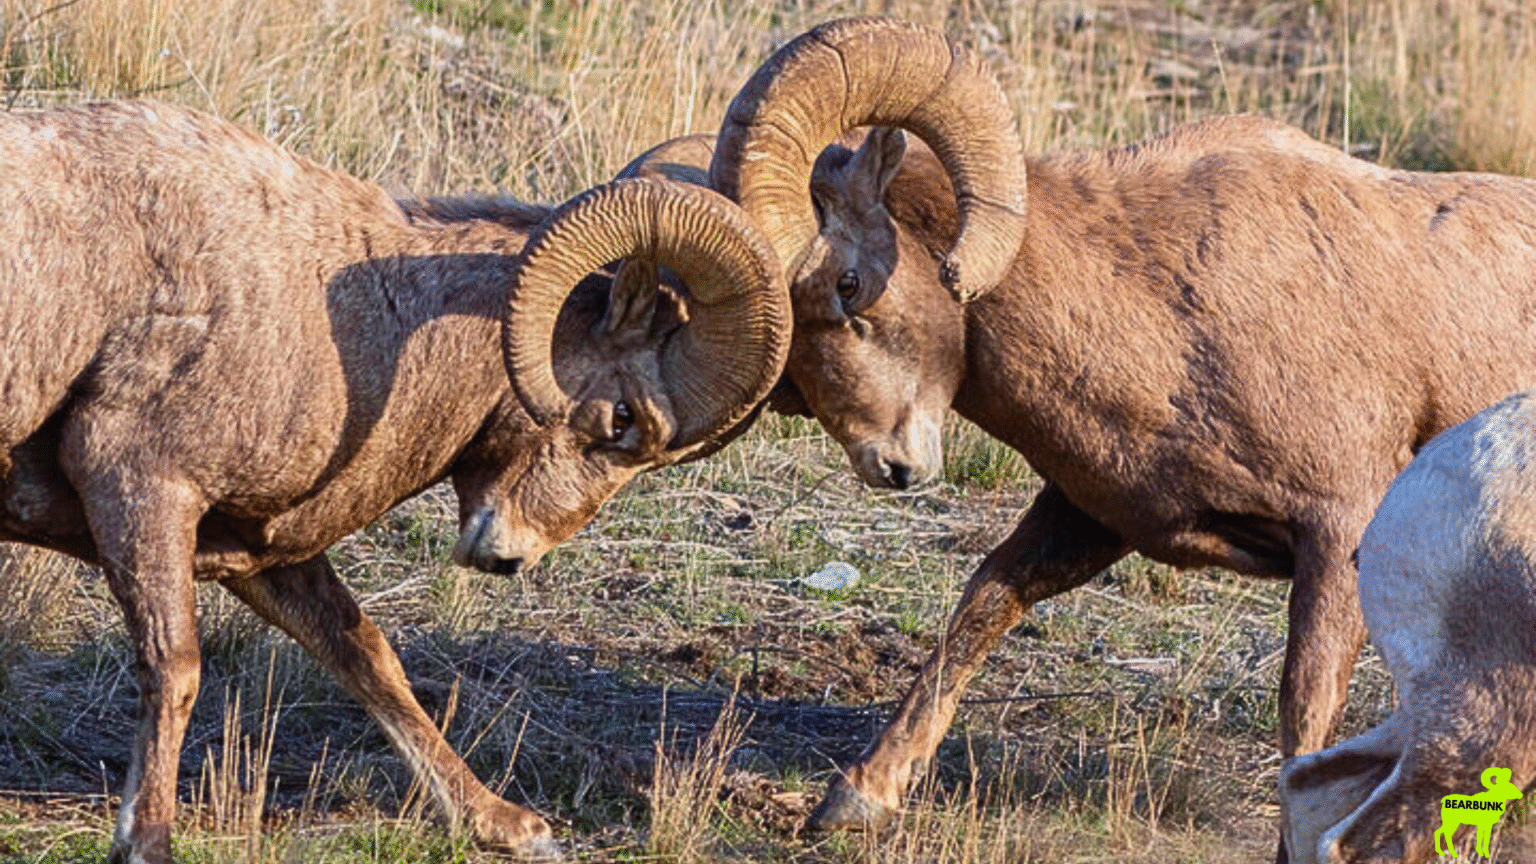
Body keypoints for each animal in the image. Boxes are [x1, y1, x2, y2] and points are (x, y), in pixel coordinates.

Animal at [0, 100, 788, 863]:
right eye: (623, 416)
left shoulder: (256, 551)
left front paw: (505, 825)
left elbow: (368, 657)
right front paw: (146, 843)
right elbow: (176, 668)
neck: (343, 318)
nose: (507, 557)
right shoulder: (142, 487)